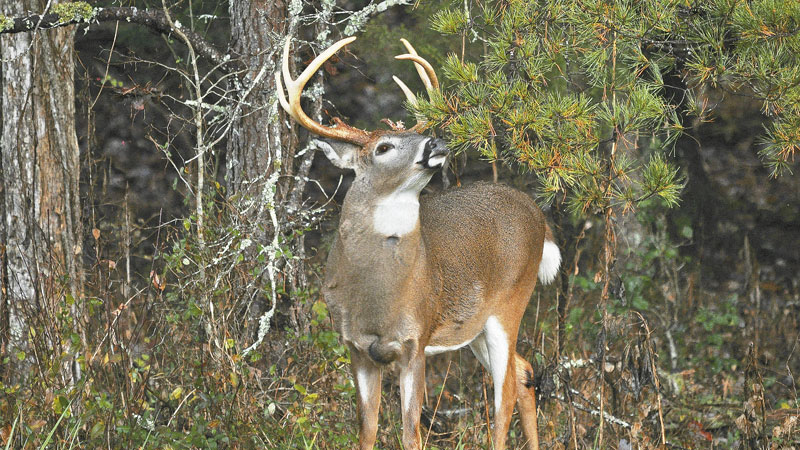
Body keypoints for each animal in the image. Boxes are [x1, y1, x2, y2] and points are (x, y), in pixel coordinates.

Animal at [276, 36, 561, 450]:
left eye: (415, 135)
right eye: (383, 147)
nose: (436, 142)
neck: (377, 298)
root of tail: (538, 215)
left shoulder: (416, 339)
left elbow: (411, 432)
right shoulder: (356, 347)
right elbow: (367, 429)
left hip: (510, 303)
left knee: (505, 392)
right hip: (471, 325)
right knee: (523, 373)